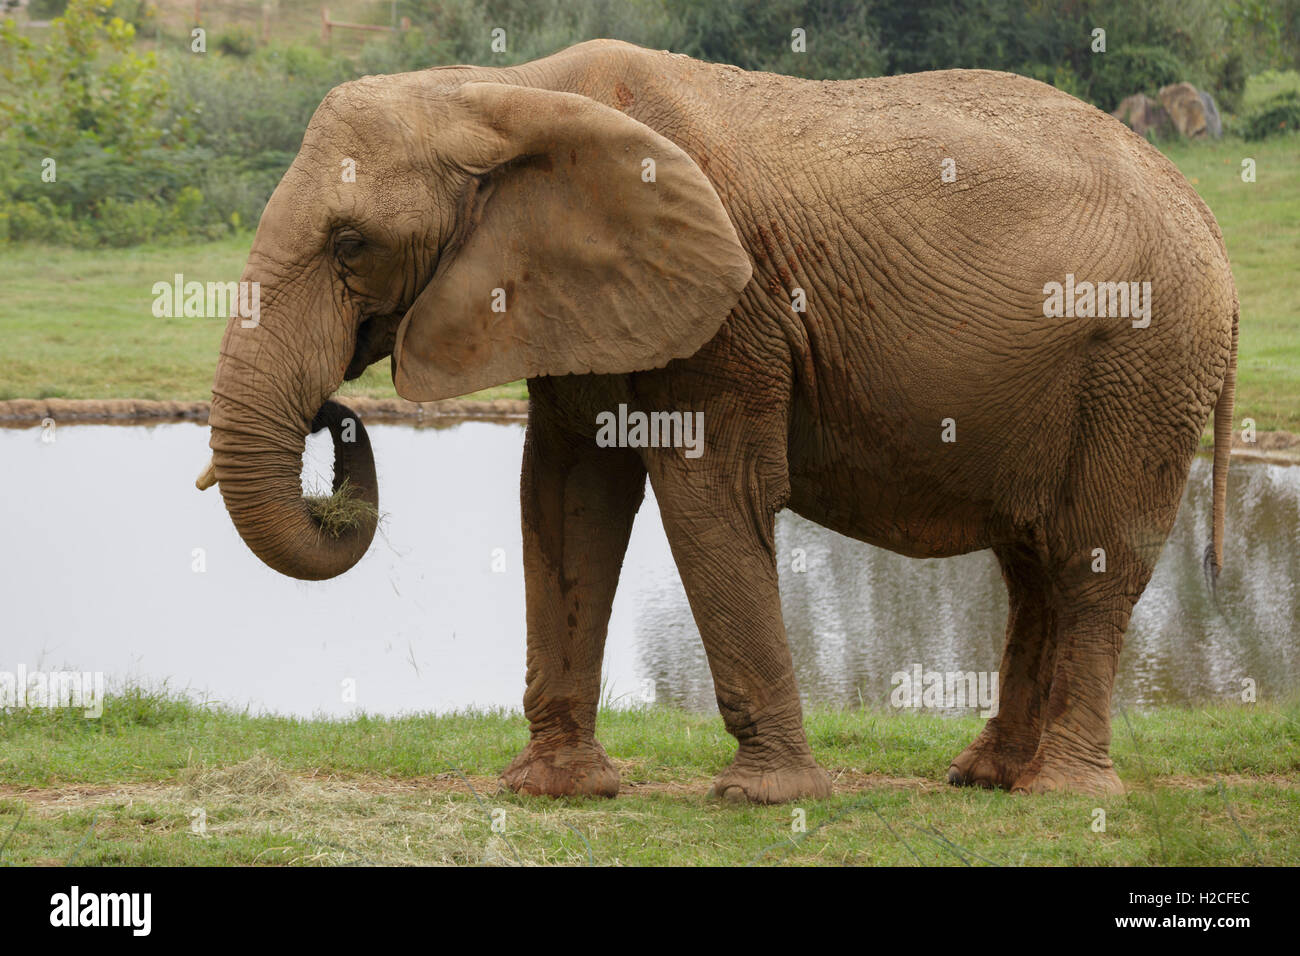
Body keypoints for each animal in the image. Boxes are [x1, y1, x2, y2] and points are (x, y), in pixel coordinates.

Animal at [201, 40, 1238, 802]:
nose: (334, 412)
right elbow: (566, 495)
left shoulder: (732, 315)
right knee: (1033, 563)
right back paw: (986, 777)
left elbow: (708, 494)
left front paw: (765, 798)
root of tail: (1204, 212)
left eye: (350, 245)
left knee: (1091, 559)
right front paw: (552, 791)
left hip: (1143, 360)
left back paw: (1064, 794)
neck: (500, 91)